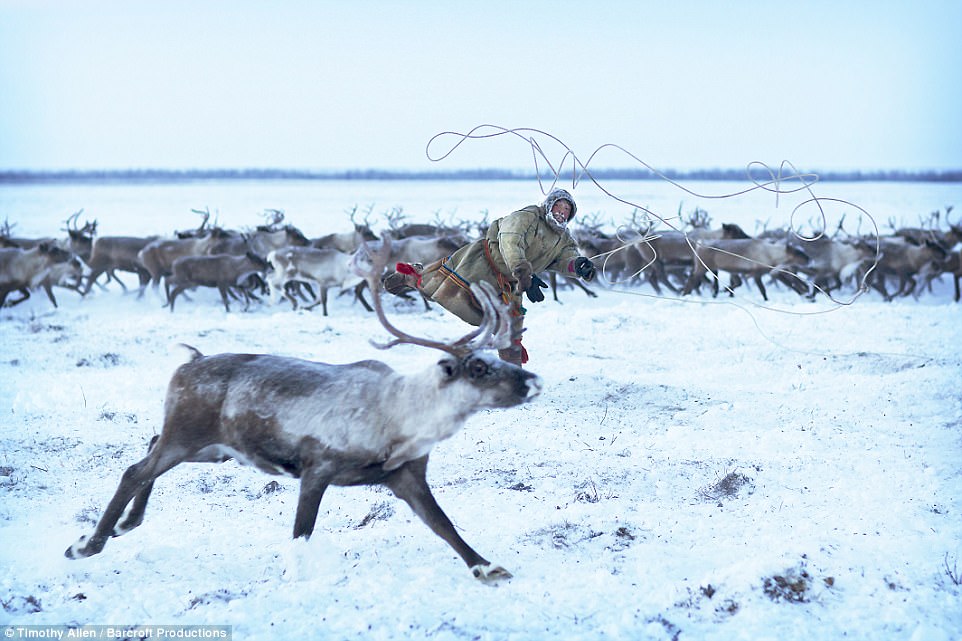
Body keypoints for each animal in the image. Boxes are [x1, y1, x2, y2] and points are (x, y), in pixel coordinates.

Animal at [65, 238, 543, 581]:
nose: (533, 381)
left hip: (214, 448)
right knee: (135, 470)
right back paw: (87, 543)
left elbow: (446, 526)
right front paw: (293, 575)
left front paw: (487, 567)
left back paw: (122, 526)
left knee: (148, 445)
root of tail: (188, 362)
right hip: (187, 435)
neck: (403, 419)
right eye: (478, 367)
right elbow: (301, 534)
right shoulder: (318, 467)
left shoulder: (406, 476)